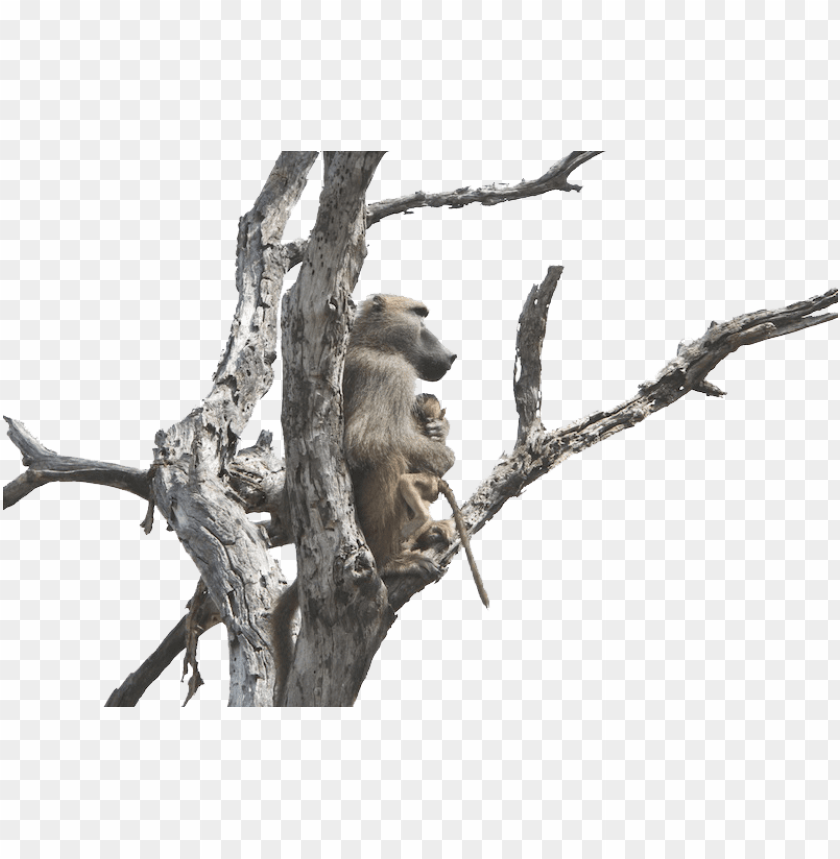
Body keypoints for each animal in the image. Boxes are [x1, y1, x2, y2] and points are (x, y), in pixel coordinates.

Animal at [273, 294, 458, 705]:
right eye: (420, 315)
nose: (450, 354)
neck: (375, 343)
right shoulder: (389, 373)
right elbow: (368, 442)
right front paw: (444, 454)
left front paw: (438, 429)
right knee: (388, 459)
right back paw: (393, 562)